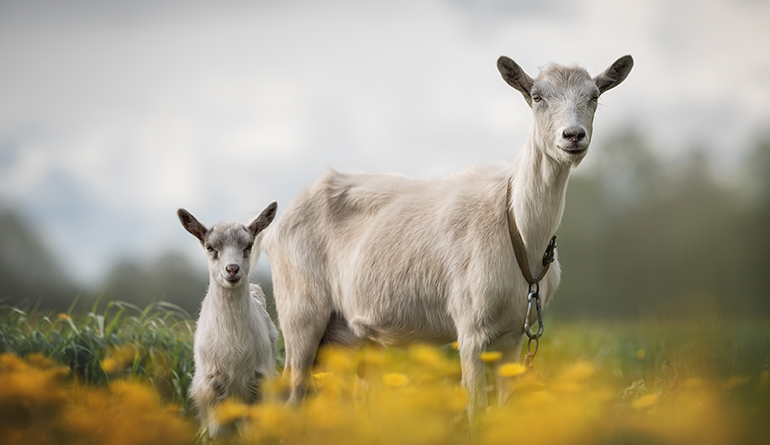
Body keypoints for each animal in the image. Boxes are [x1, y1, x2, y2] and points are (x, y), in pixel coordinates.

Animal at [178, 202, 279, 437]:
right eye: (210, 247)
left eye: (249, 245)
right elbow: (217, 433)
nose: (232, 269)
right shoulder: (211, 388)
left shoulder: (258, 383)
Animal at [259, 55, 633, 416]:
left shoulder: (514, 334)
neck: (518, 229)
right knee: (292, 392)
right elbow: (477, 408)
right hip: (300, 312)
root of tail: (277, 226)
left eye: (594, 96)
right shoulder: (470, 328)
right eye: (537, 97)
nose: (573, 136)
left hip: (352, 335)